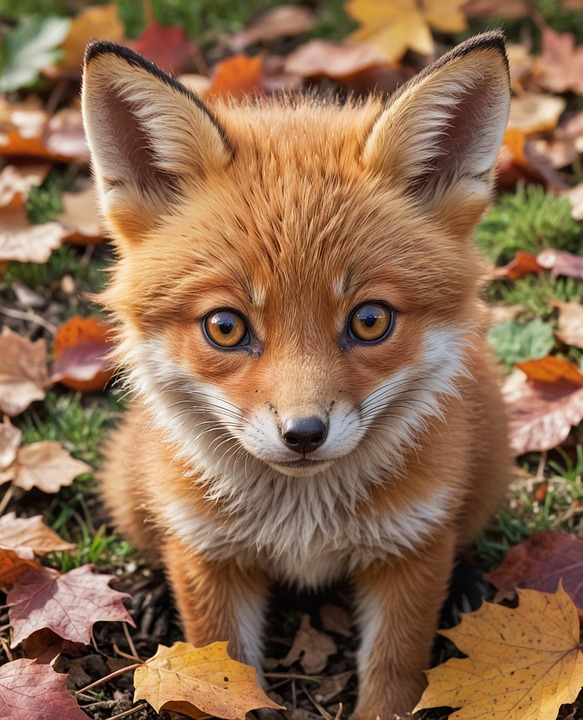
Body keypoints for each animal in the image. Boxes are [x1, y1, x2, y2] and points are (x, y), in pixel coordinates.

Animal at [82, 31, 511, 719]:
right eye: (225, 327)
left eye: (370, 320)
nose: (304, 434)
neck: (301, 525)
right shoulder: (208, 556)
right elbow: (221, 682)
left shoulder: (411, 549)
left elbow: (393, 677)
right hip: (129, 488)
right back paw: (149, 591)